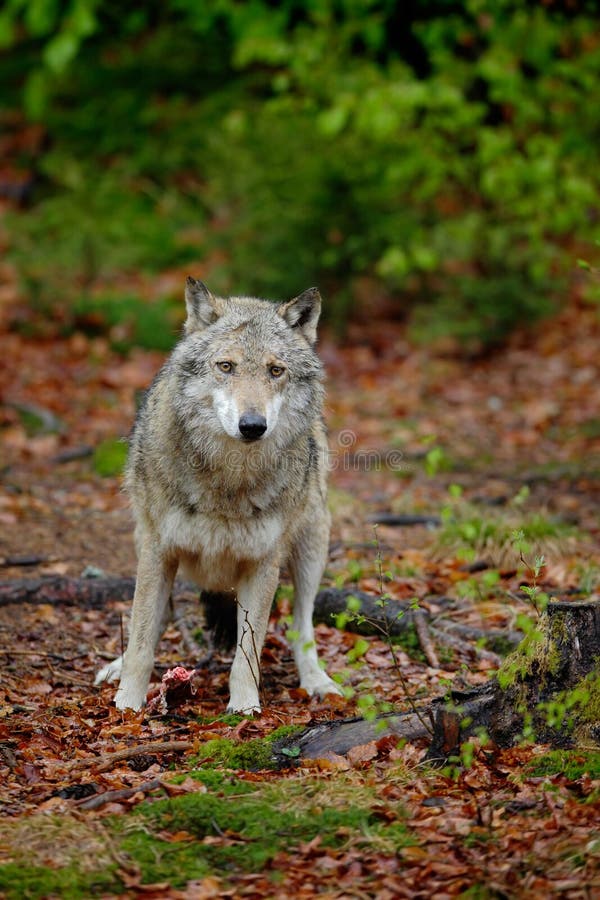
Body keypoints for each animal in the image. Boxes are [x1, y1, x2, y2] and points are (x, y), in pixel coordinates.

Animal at [95, 278, 342, 713]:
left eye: (275, 370)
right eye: (226, 366)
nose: (253, 425)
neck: (228, 479)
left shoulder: (263, 564)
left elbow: (248, 654)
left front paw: (244, 709)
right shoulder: (159, 549)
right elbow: (142, 641)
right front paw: (127, 706)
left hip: (312, 547)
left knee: (302, 626)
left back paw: (316, 681)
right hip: (144, 542)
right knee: (155, 619)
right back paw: (116, 667)